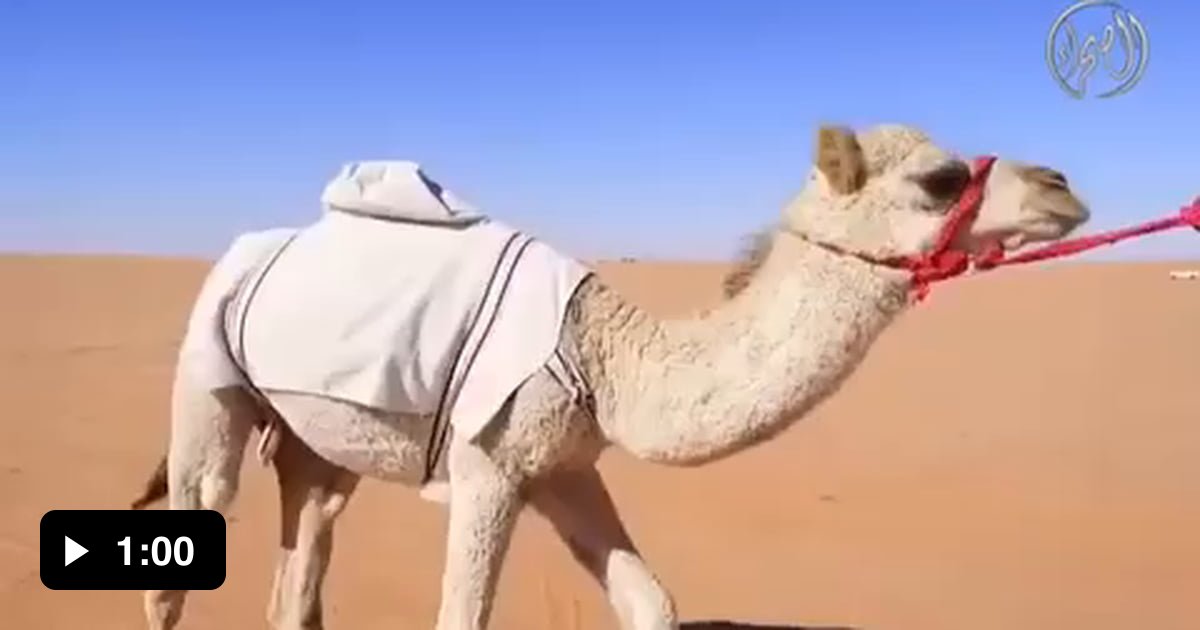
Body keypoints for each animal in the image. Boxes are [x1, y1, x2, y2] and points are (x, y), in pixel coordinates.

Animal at [130, 123, 1090, 630]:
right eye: (941, 179)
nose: (1063, 184)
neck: (604, 352)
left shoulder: (561, 464)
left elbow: (650, 601)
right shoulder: (487, 465)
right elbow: (462, 616)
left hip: (319, 443)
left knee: (303, 556)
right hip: (209, 376)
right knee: (188, 540)